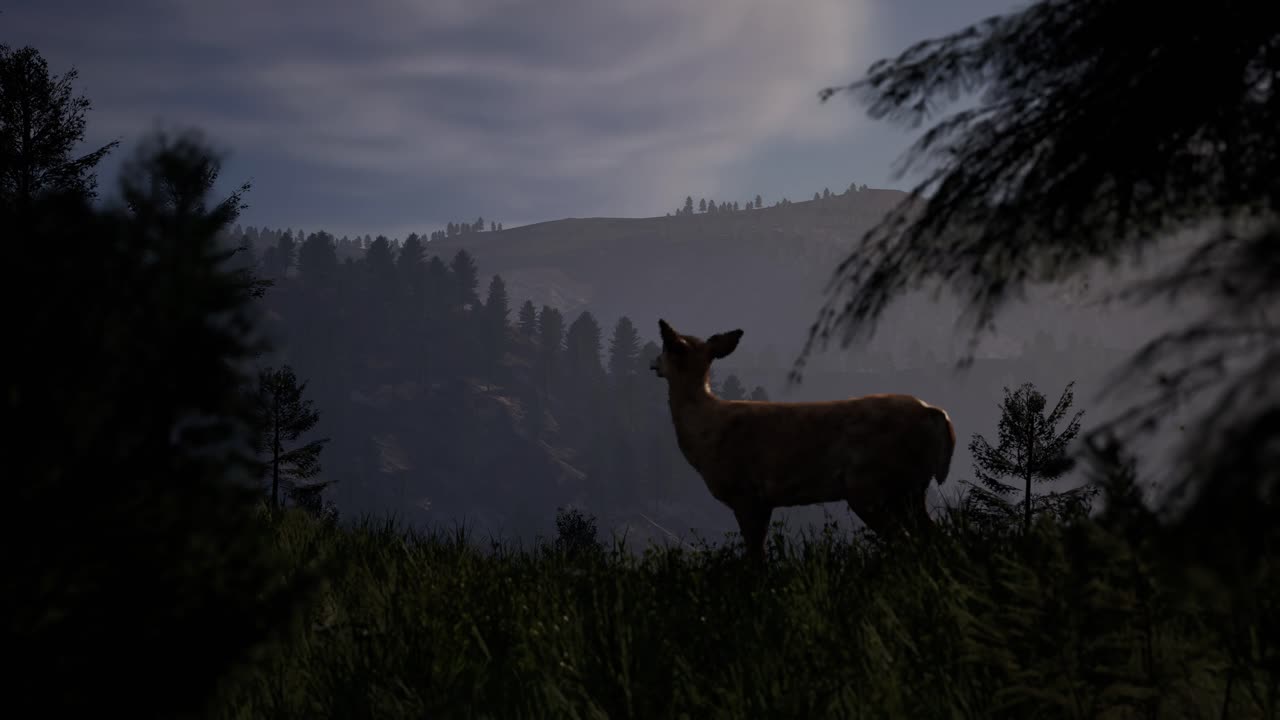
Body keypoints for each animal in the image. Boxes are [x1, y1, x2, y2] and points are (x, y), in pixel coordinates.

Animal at [648, 318, 956, 563]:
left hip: (872, 484)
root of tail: (934, 413)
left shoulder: (745, 493)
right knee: (932, 534)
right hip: (911, 487)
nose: (652, 363)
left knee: (908, 538)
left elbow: (755, 557)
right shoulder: (764, 501)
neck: (705, 431)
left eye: (666, 347)